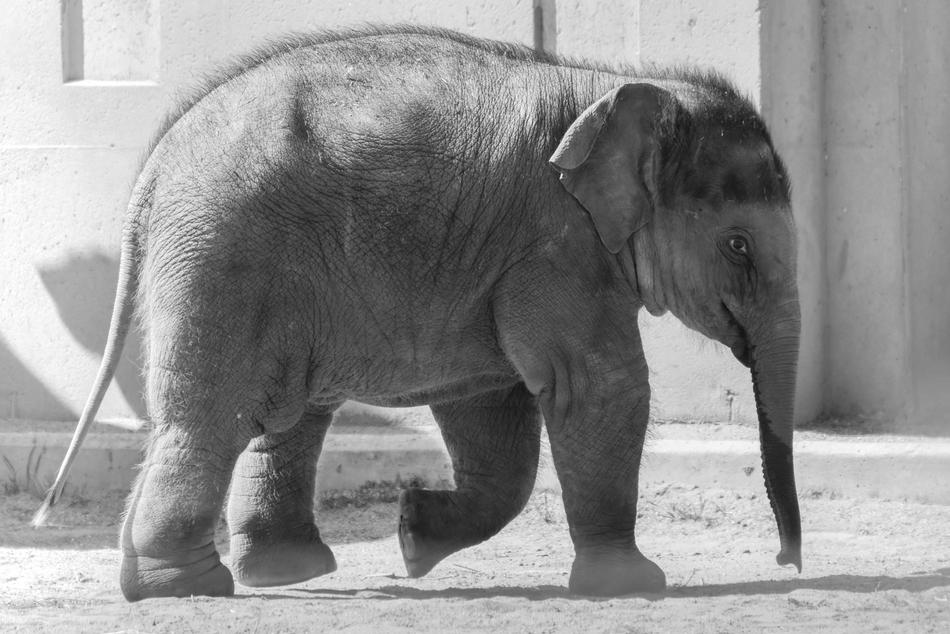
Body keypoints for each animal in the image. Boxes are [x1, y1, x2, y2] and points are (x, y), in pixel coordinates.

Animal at [36, 25, 802, 601]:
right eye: (737, 245)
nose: (787, 562)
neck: (615, 85)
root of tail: (152, 168)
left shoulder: (500, 266)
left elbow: (494, 410)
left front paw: (411, 533)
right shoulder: (554, 248)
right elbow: (596, 387)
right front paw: (633, 585)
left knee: (282, 414)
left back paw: (283, 573)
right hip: (224, 258)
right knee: (215, 419)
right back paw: (184, 588)